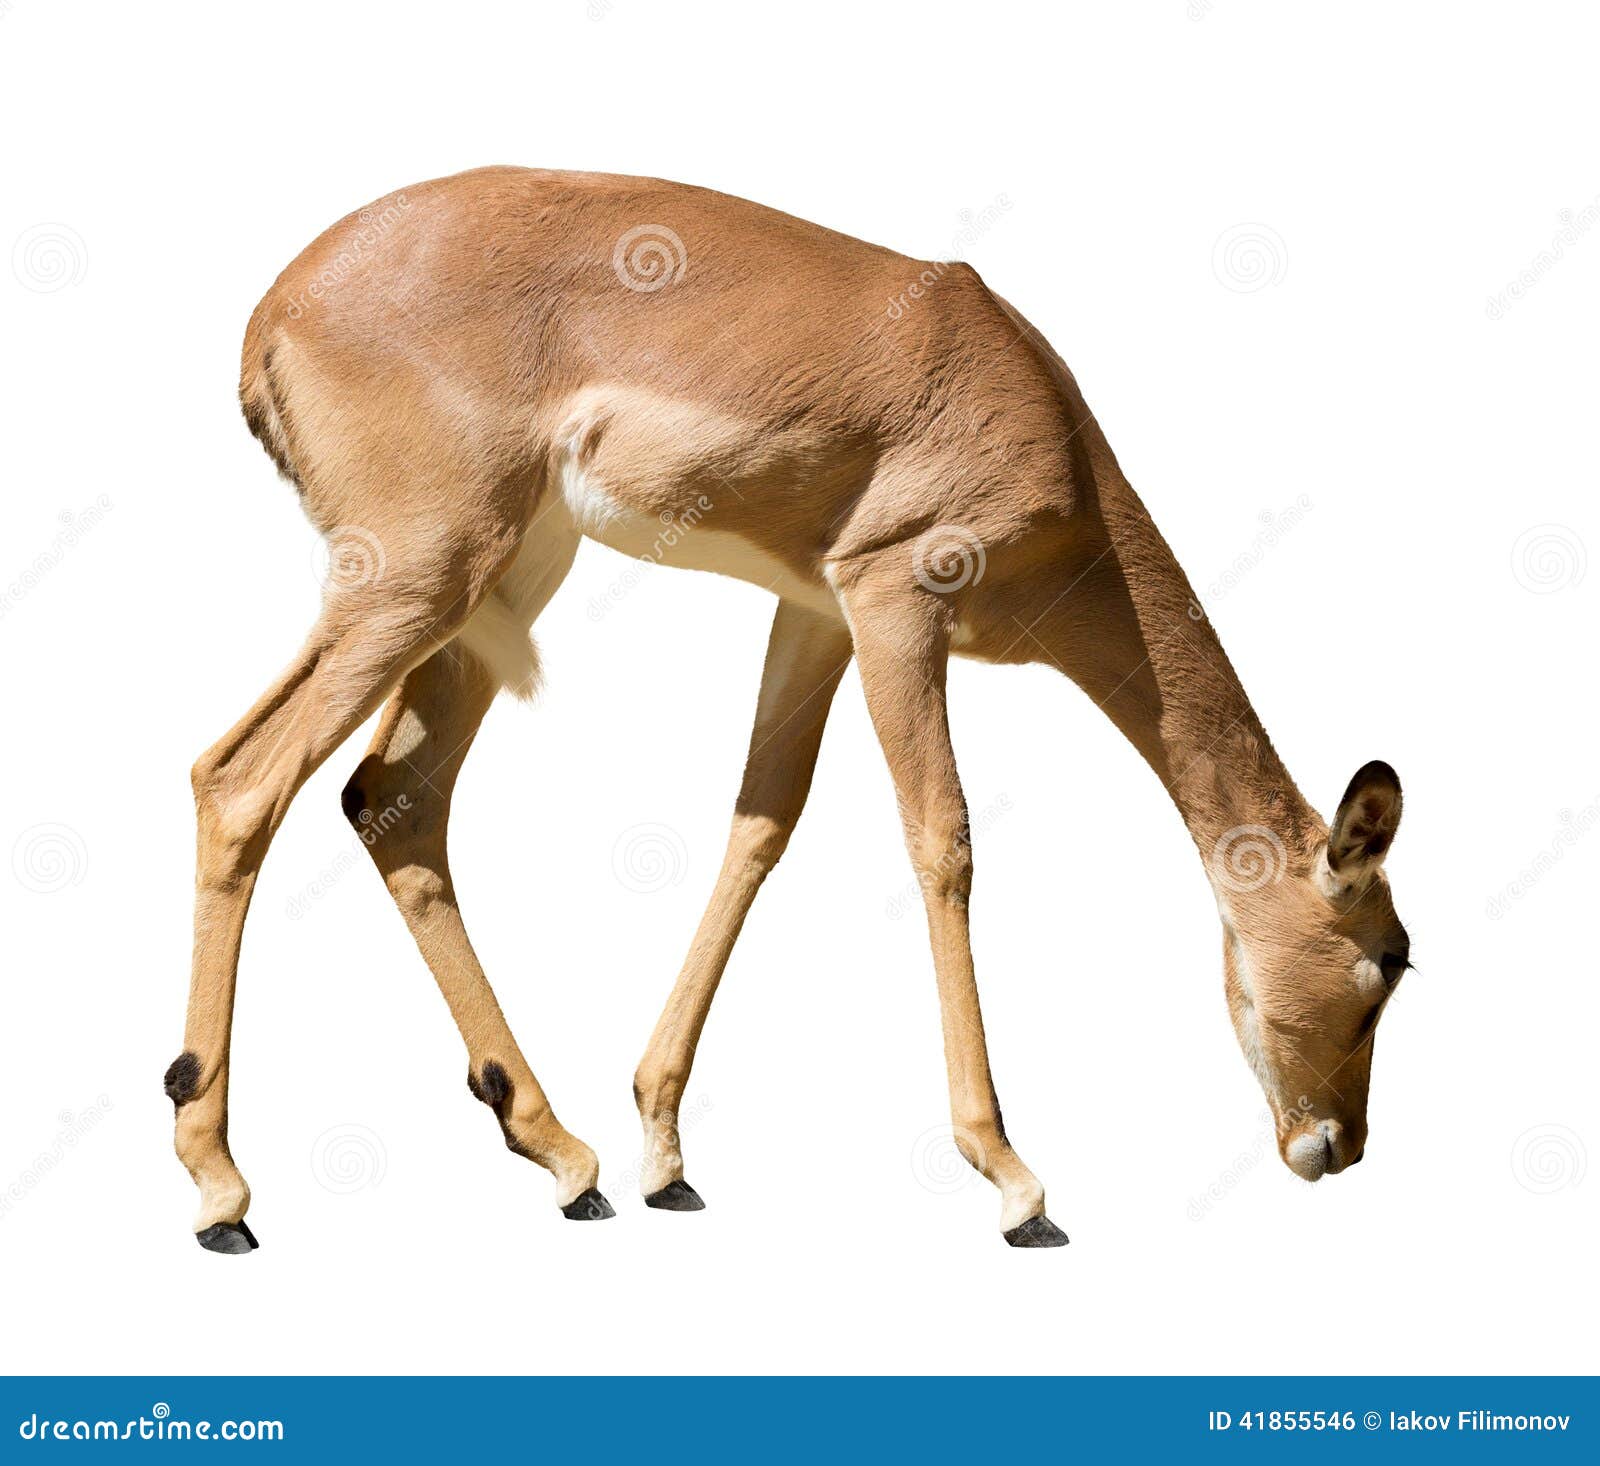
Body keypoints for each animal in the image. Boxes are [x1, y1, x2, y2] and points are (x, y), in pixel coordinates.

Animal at [168, 166, 1411, 1253]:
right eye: (1389, 959)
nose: (1335, 1145)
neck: (1043, 428)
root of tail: (277, 308)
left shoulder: (816, 612)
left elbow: (762, 821)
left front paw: (665, 1154)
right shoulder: (900, 596)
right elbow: (943, 837)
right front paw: (1014, 1180)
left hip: (496, 585)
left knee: (393, 797)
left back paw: (566, 1158)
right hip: (418, 581)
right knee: (238, 778)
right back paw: (223, 1190)